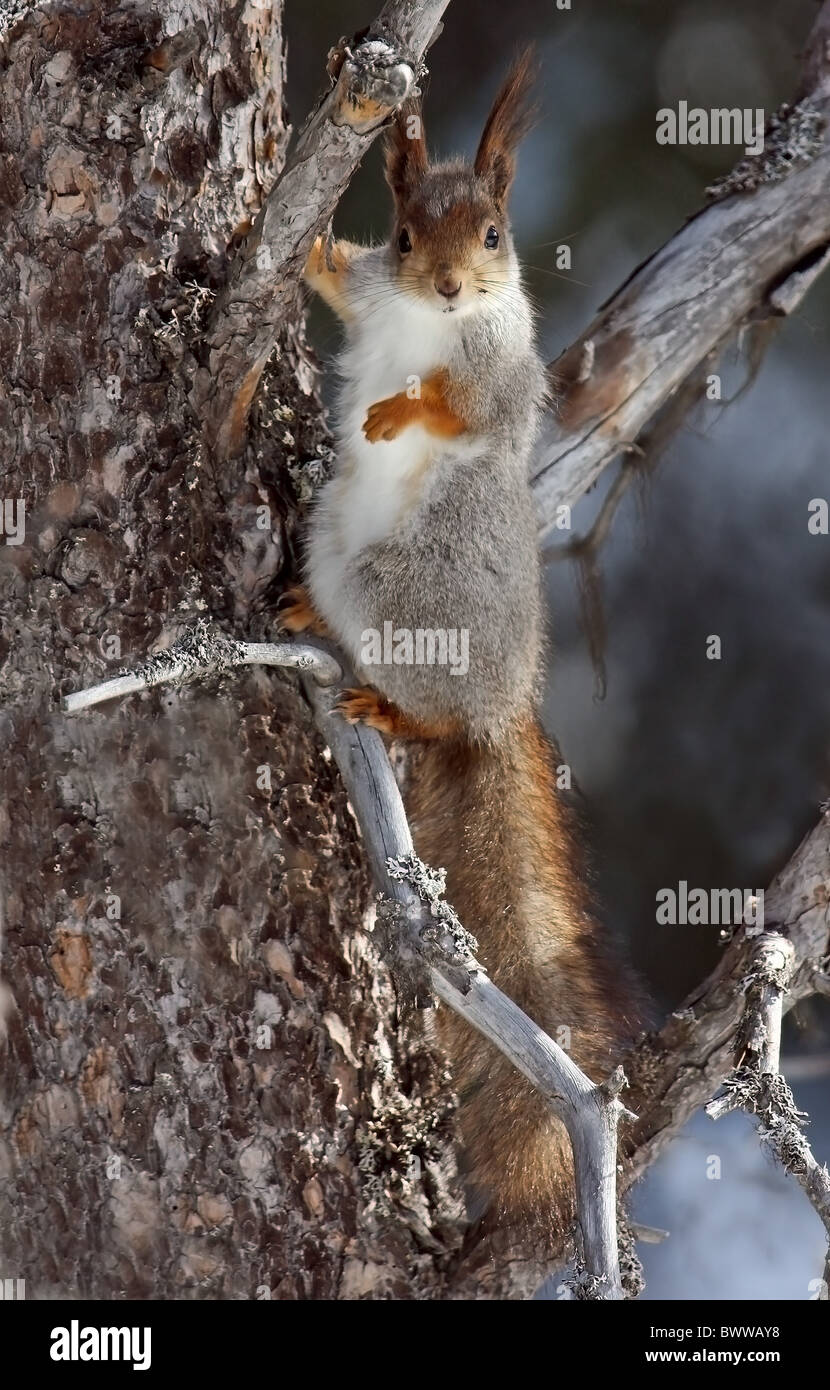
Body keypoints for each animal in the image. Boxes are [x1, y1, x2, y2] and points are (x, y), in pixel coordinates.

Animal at [282, 51, 640, 1244]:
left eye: (491, 233)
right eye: (402, 235)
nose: (443, 288)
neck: (432, 327)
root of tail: (499, 700)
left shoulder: (500, 369)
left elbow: (465, 406)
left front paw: (398, 415)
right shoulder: (373, 294)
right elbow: (337, 286)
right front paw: (305, 242)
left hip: (405, 600)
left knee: (430, 710)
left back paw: (390, 705)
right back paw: (304, 619)